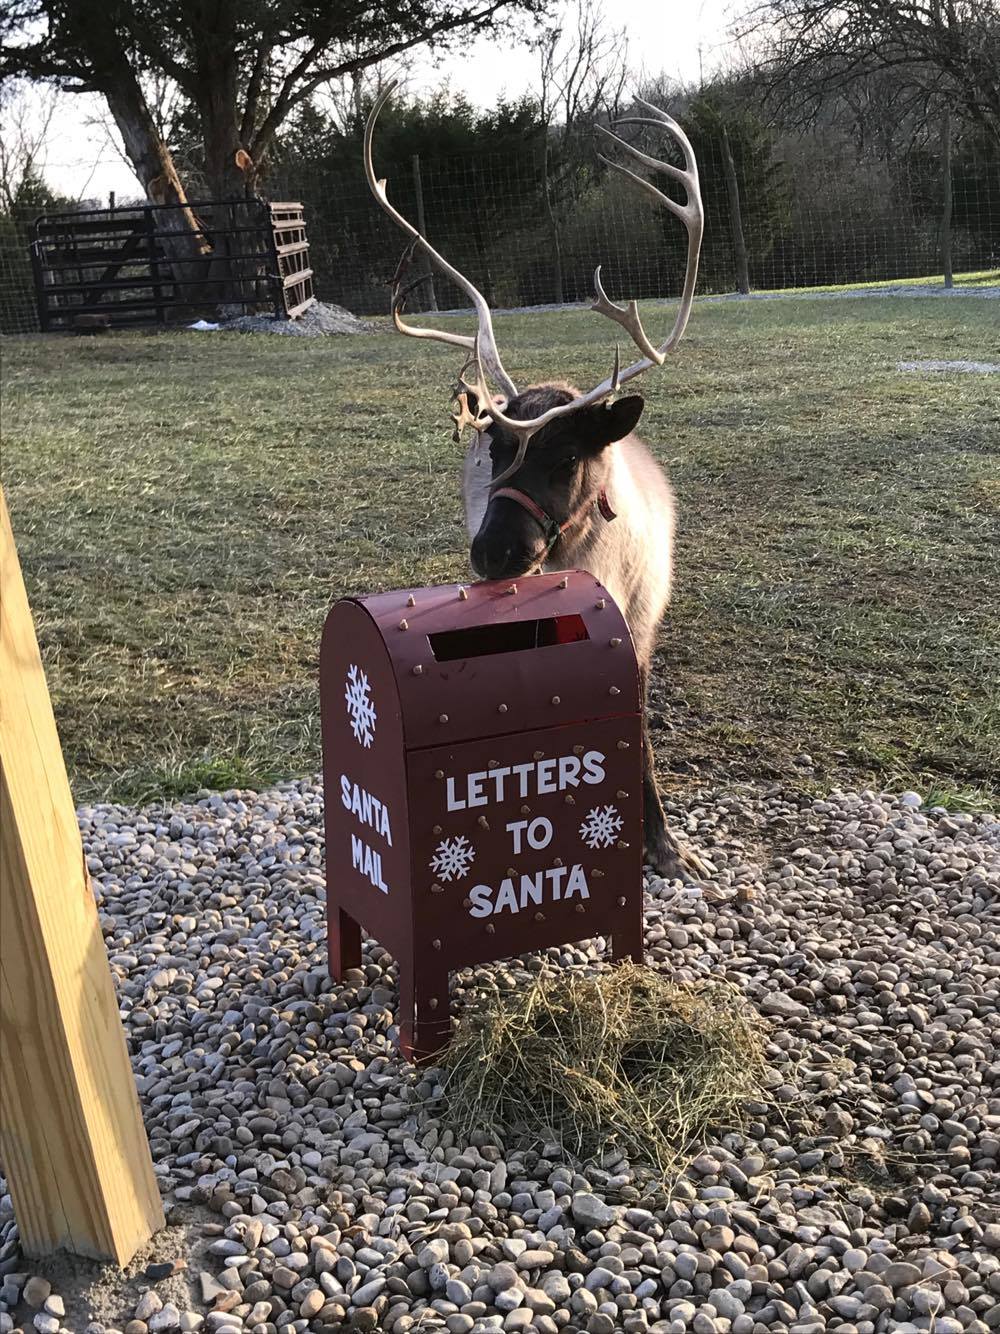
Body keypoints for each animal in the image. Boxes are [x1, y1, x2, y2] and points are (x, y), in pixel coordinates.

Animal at [364, 83, 707, 881]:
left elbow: (637, 727)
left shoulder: (641, 628)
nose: (494, 553)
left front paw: (663, 843)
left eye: (567, 456)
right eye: (492, 445)